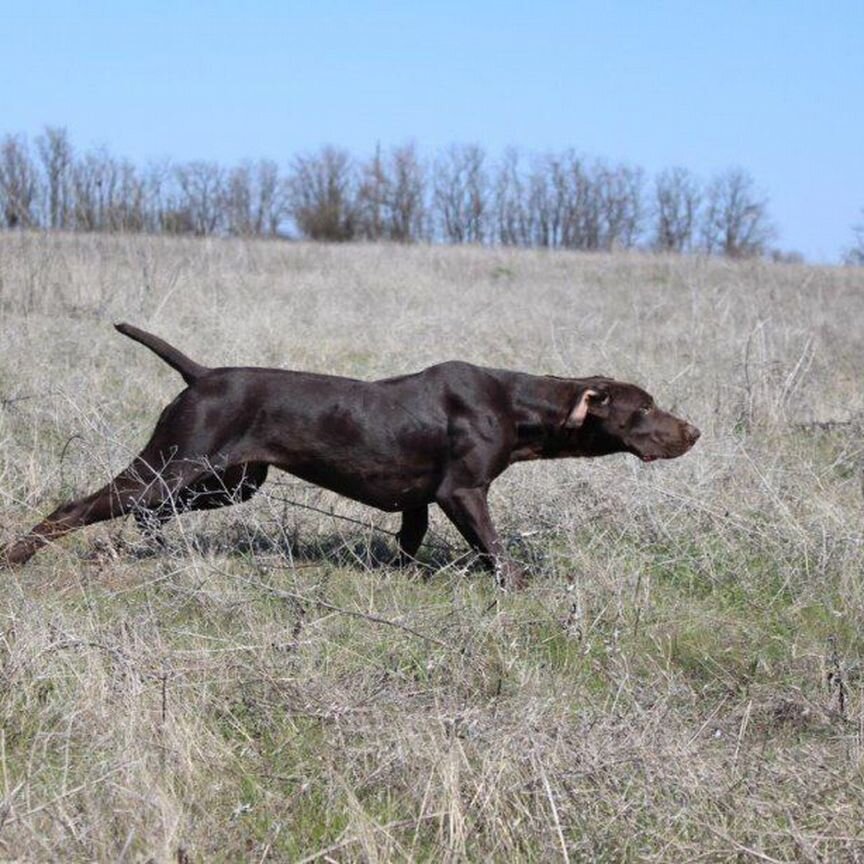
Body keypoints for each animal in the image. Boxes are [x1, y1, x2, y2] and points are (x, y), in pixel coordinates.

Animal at [0, 326, 700, 588]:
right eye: (644, 407)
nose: (692, 431)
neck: (516, 402)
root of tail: (201, 376)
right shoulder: (462, 492)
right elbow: (497, 554)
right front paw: (522, 592)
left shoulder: (420, 502)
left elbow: (409, 541)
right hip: (170, 468)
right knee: (79, 506)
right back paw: (20, 556)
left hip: (227, 483)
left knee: (145, 513)